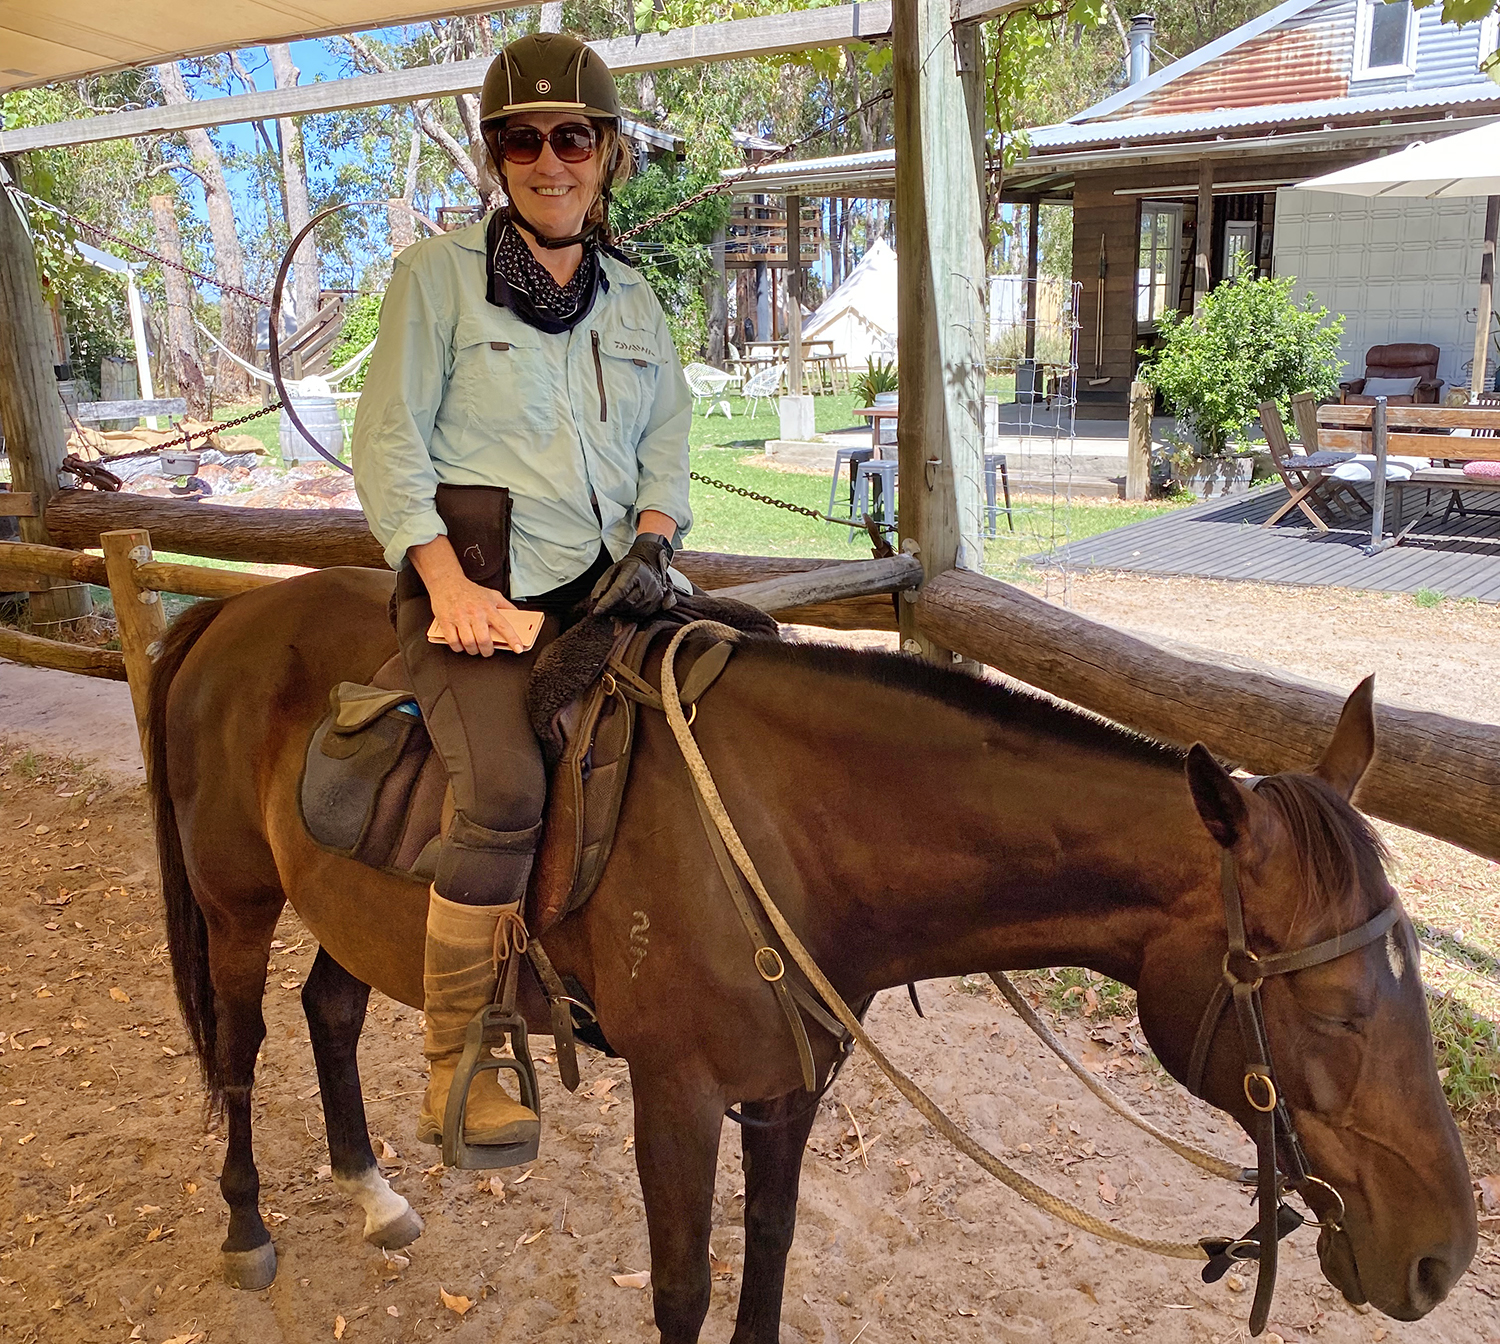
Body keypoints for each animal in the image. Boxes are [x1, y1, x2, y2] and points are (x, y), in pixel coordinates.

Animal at [146, 565, 1476, 1343]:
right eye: (1337, 1009)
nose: (1443, 1257)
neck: (792, 835)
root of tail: (227, 610)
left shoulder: (788, 1089)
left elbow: (771, 1253)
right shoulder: (676, 1097)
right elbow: (684, 1285)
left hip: (351, 913)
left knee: (328, 1012)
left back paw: (372, 1190)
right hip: (235, 903)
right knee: (240, 1049)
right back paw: (247, 1229)